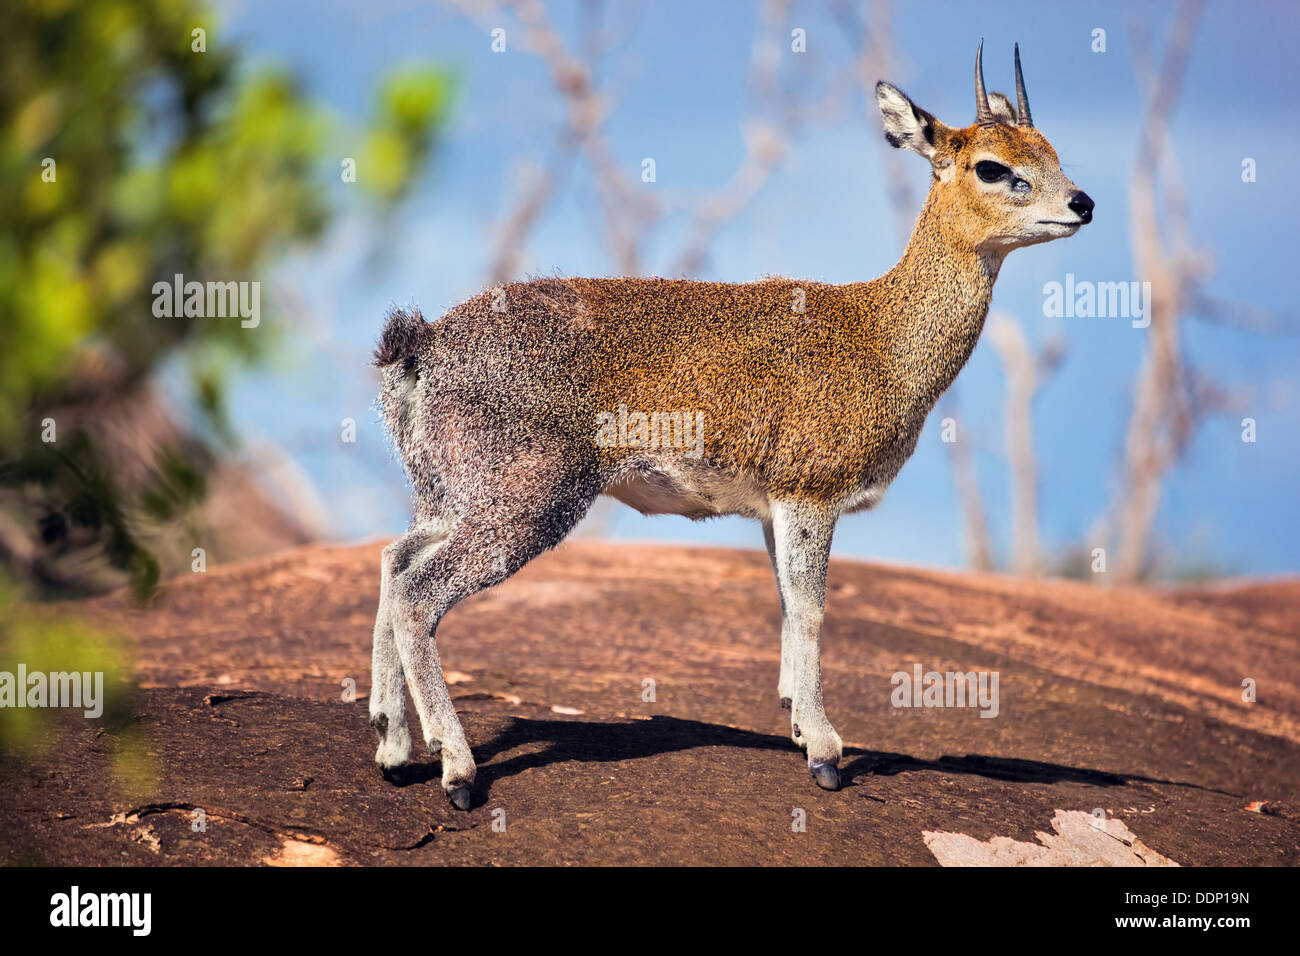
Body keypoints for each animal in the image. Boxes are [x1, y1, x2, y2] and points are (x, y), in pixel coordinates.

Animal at [369, 43, 1093, 809]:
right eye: (992, 164)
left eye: (1051, 149)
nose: (1082, 204)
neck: (881, 338)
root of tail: (422, 344)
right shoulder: (811, 495)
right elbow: (811, 608)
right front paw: (826, 752)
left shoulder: (774, 510)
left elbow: (784, 605)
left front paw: (800, 726)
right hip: (524, 504)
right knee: (419, 593)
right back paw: (456, 768)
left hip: (453, 498)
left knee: (392, 559)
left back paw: (392, 746)